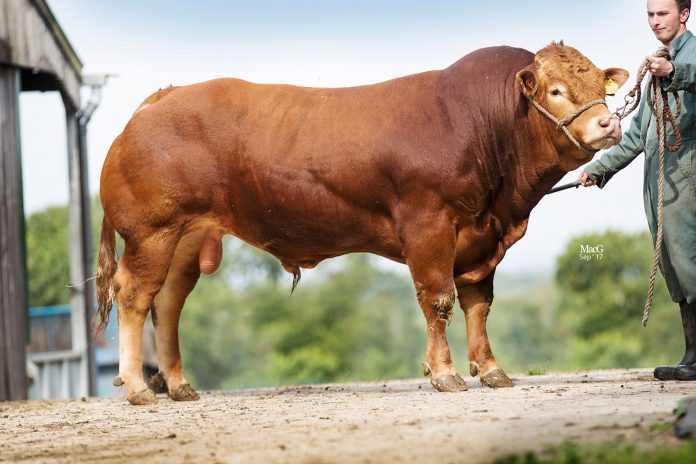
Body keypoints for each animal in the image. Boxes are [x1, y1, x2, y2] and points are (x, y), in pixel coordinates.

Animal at [96, 43, 629, 405]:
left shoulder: (481, 237)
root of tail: (160, 99)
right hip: (152, 233)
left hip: (187, 237)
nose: (609, 123)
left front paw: (492, 369)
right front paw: (445, 374)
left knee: (167, 303)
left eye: (597, 87)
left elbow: (479, 305)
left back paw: (179, 385)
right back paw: (139, 388)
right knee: (134, 296)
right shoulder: (429, 224)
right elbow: (438, 300)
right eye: (556, 90)